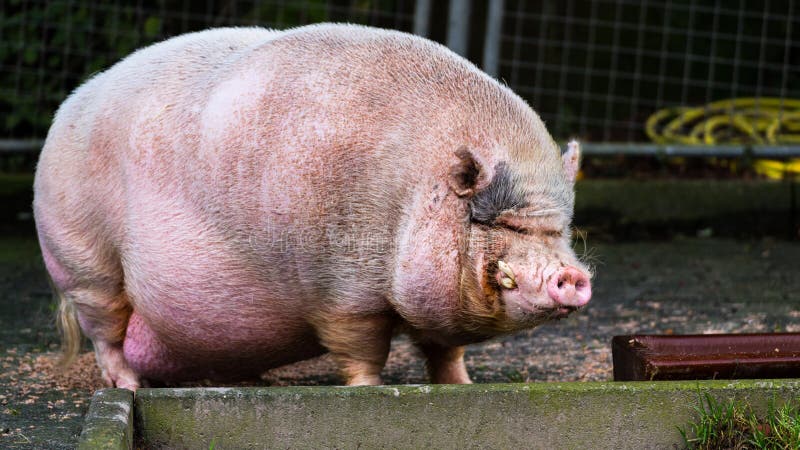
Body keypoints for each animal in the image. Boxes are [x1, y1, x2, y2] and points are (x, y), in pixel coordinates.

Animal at [34, 24, 592, 390]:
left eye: (559, 229)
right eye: (498, 221)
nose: (572, 275)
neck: (408, 194)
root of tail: (65, 111)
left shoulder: (434, 310)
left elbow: (443, 351)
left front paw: (464, 388)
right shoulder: (344, 290)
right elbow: (365, 349)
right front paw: (369, 392)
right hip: (82, 261)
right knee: (105, 334)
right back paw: (129, 388)